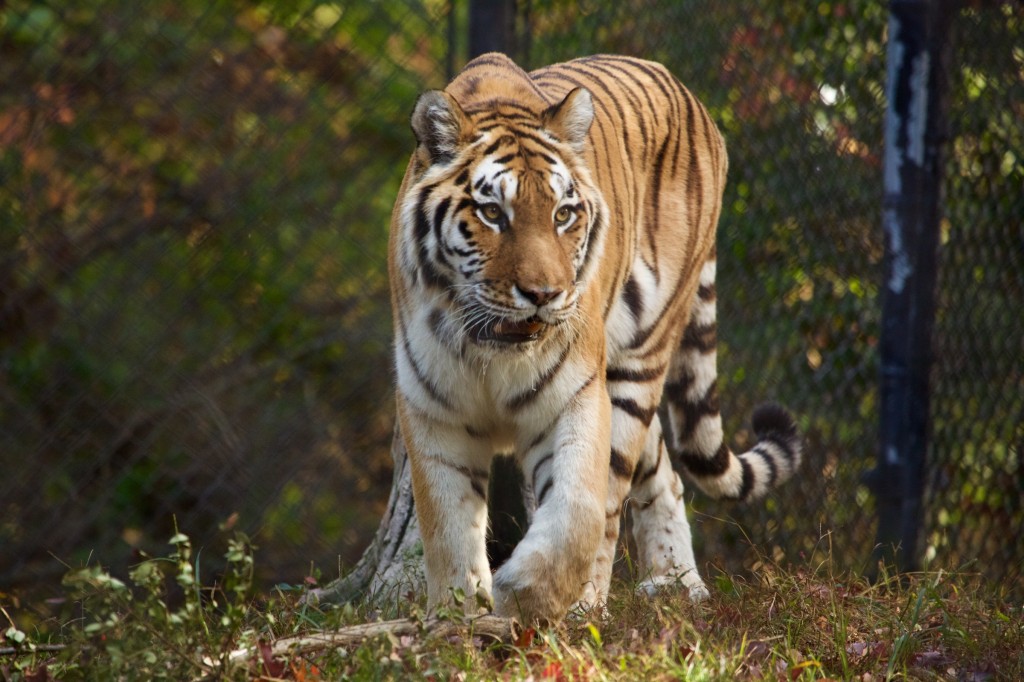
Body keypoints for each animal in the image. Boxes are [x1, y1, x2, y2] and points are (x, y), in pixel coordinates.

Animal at [388, 53, 802, 624]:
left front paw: (528, 592)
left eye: (563, 214)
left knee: (615, 494)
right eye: (492, 213)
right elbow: (447, 526)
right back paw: (676, 583)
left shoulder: (575, 395)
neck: (490, 352)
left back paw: (599, 603)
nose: (544, 294)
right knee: (666, 473)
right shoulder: (432, 409)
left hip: (640, 361)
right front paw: (457, 619)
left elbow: (580, 507)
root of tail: (691, 97)